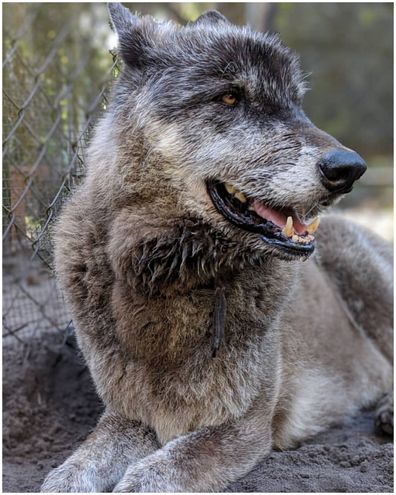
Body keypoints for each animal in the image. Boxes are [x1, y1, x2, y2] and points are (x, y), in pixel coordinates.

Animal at [41, 2, 392, 492]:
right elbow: (70, 473)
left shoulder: (239, 427)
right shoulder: (126, 417)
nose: (351, 168)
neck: (171, 278)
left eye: (295, 103)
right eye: (229, 98)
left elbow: (149, 476)